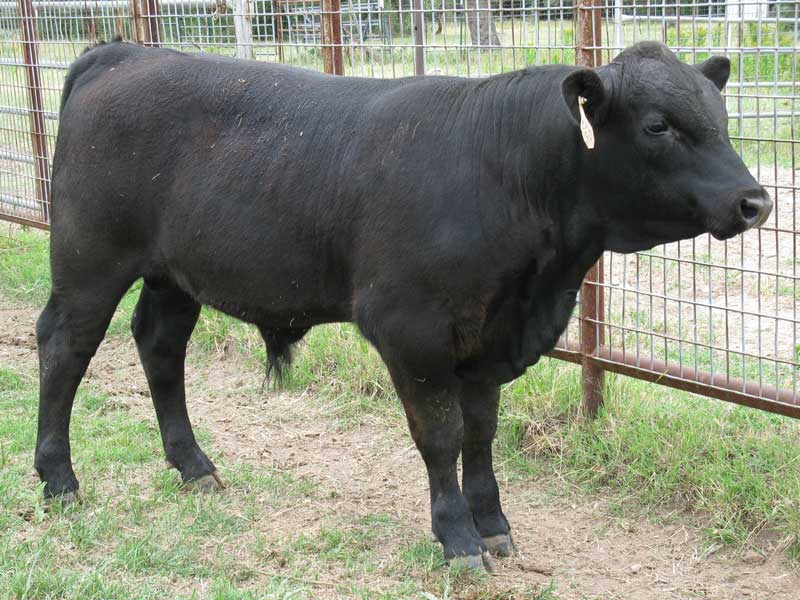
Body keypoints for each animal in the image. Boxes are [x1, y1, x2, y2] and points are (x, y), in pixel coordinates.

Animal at [35, 39, 771, 572]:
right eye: (658, 125)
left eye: (722, 120)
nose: (755, 200)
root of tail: (125, 52)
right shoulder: (411, 331)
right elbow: (440, 436)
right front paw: (458, 539)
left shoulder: (487, 339)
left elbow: (480, 434)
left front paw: (494, 524)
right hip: (89, 260)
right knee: (63, 349)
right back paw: (59, 480)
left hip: (173, 275)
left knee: (160, 346)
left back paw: (194, 466)